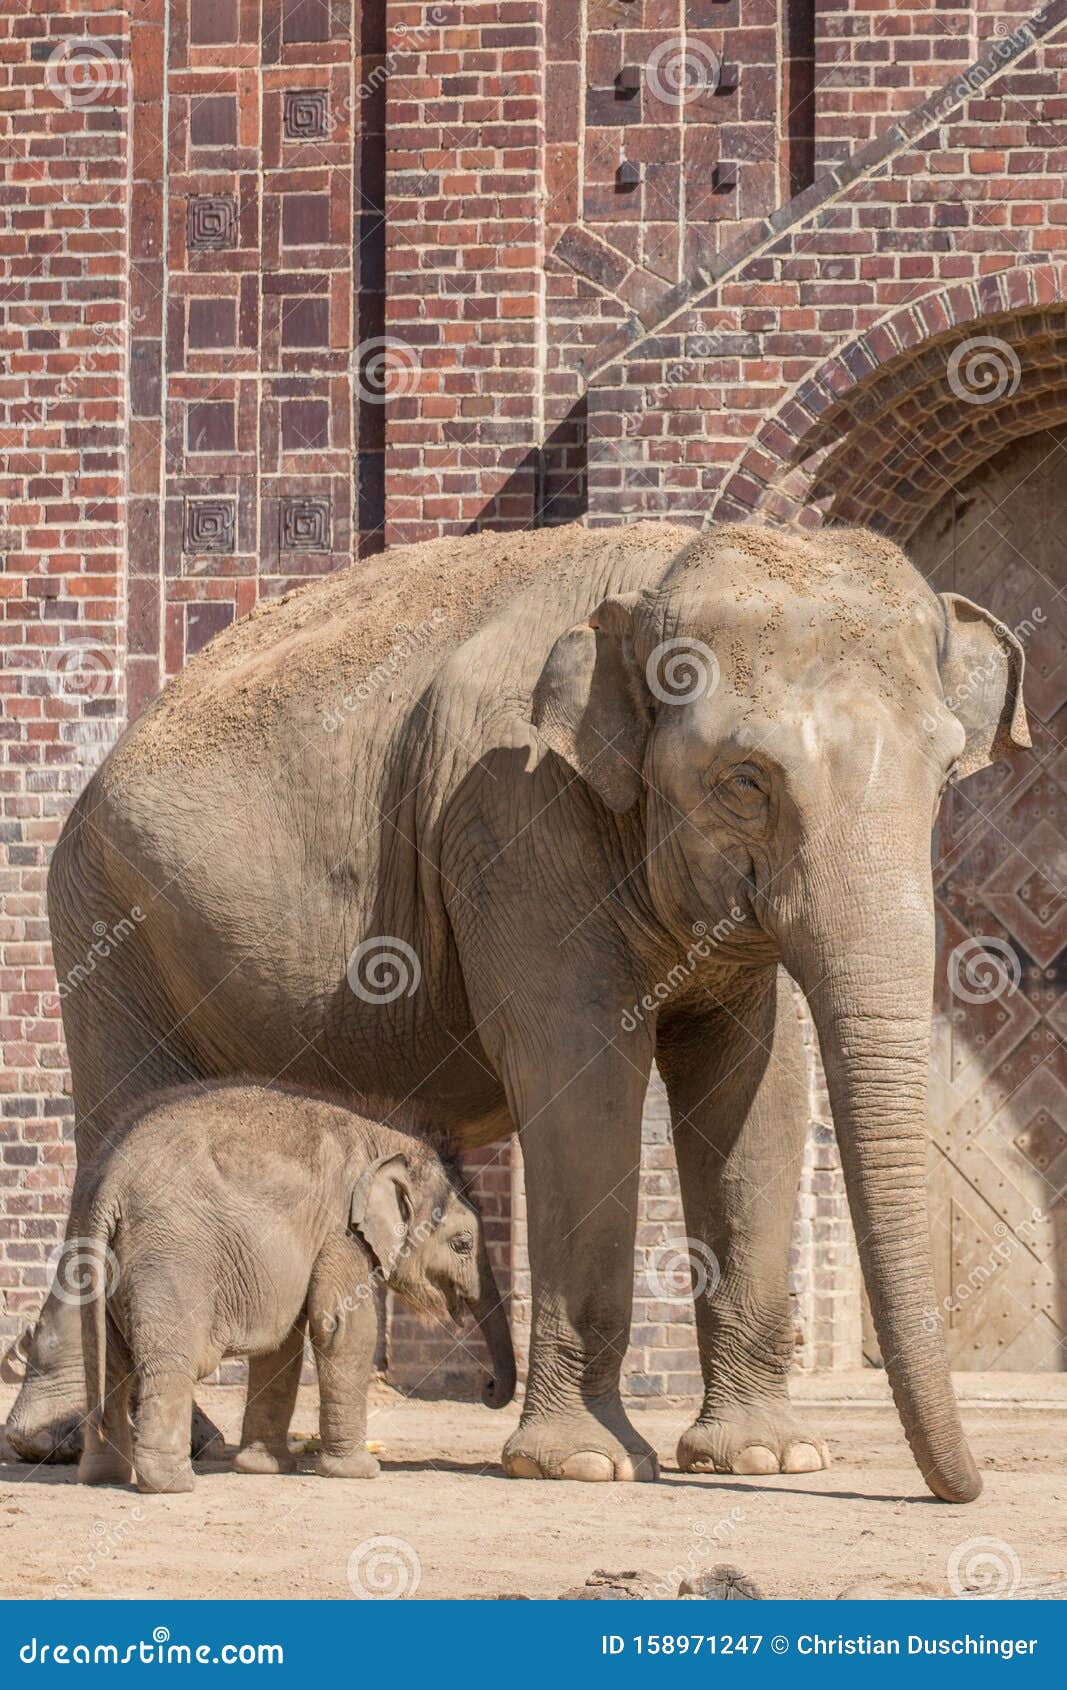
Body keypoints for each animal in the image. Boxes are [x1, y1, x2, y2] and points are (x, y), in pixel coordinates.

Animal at [76, 1081, 514, 1493]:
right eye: (463, 1243)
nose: (489, 1387)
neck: (385, 1140)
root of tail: (110, 1188)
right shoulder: (341, 1230)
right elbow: (342, 1327)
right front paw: (361, 1472)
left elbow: (283, 1341)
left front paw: (264, 1469)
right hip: (172, 1260)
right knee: (168, 1359)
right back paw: (171, 1484)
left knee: (106, 1359)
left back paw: (103, 1476)